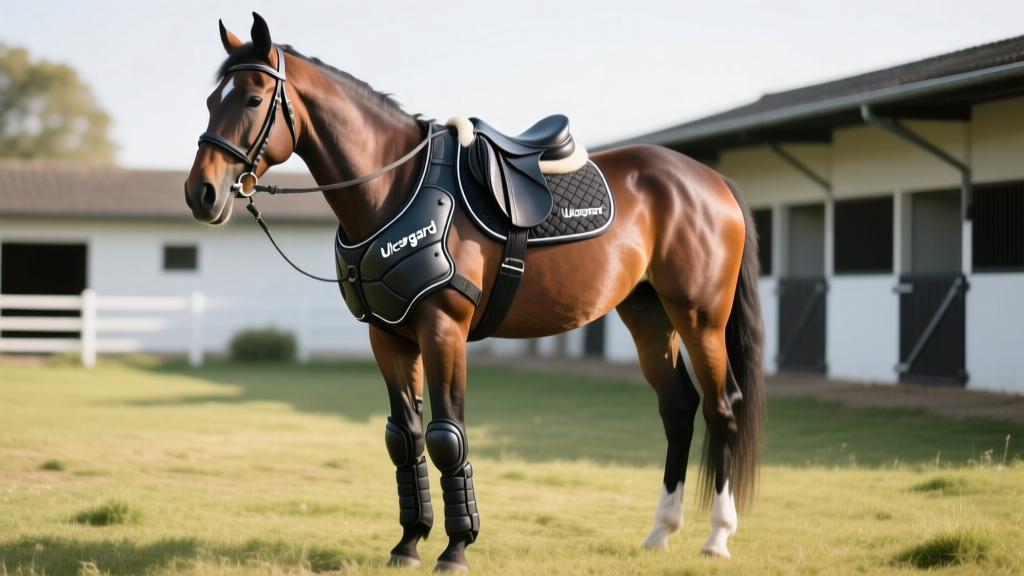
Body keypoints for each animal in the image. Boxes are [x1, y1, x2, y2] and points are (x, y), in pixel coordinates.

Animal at [184, 13, 765, 572]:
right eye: (211, 101)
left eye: (253, 98)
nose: (201, 193)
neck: (396, 188)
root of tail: (710, 179)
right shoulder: (388, 338)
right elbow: (405, 438)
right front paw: (408, 542)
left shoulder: (444, 330)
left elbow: (447, 436)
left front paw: (456, 548)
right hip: (647, 313)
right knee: (677, 408)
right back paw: (660, 533)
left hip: (700, 317)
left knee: (722, 408)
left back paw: (717, 537)